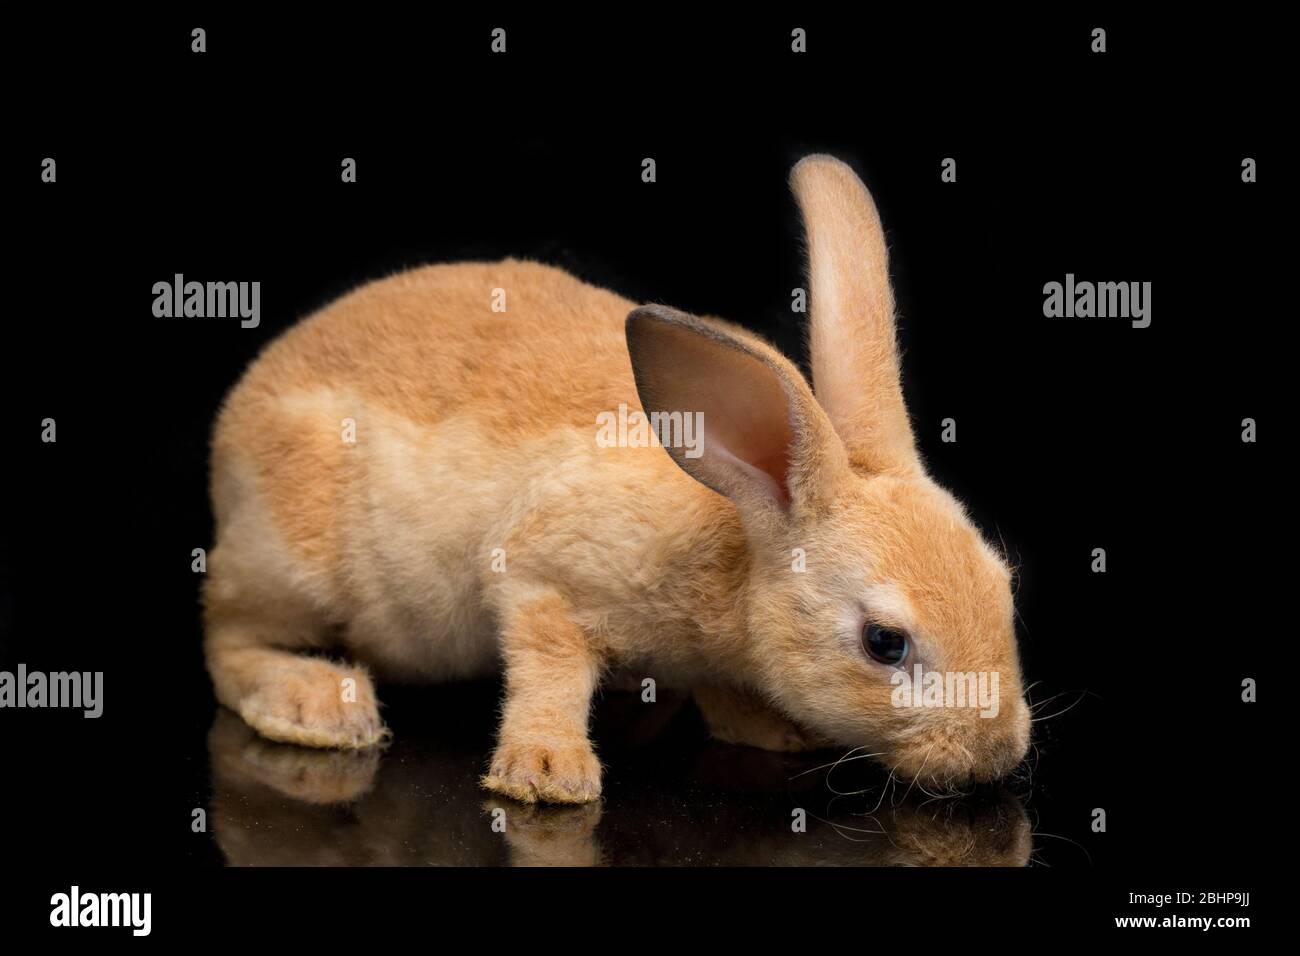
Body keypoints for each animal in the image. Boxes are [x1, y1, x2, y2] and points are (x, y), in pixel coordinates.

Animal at [202, 154, 1031, 804]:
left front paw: (771, 731)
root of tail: (231, 432)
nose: (997, 756)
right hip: (292, 559)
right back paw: (318, 705)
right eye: (885, 643)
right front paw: (546, 773)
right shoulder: (540, 575)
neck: (738, 532)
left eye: (1004, 585)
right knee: (225, 638)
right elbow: (548, 670)